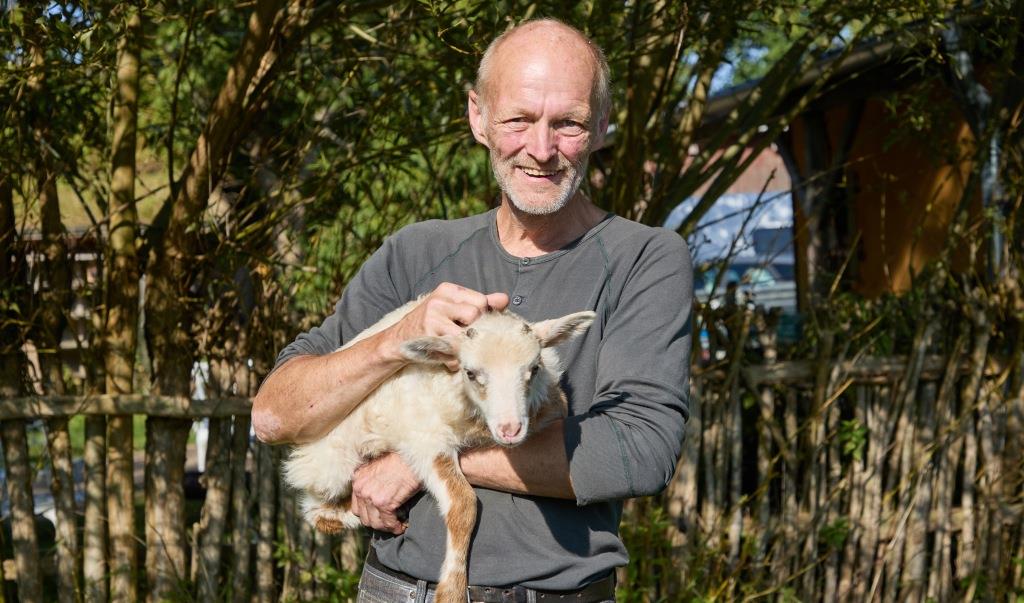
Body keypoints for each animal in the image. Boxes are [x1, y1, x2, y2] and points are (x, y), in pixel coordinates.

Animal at [283, 297, 595, 602]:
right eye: (471, 373)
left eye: (534, 369)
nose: (511, 429)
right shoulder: (426, 440)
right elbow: (463, 504)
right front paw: (451, 590)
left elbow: (558, 404)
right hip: (332, 463)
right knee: (314, 509)